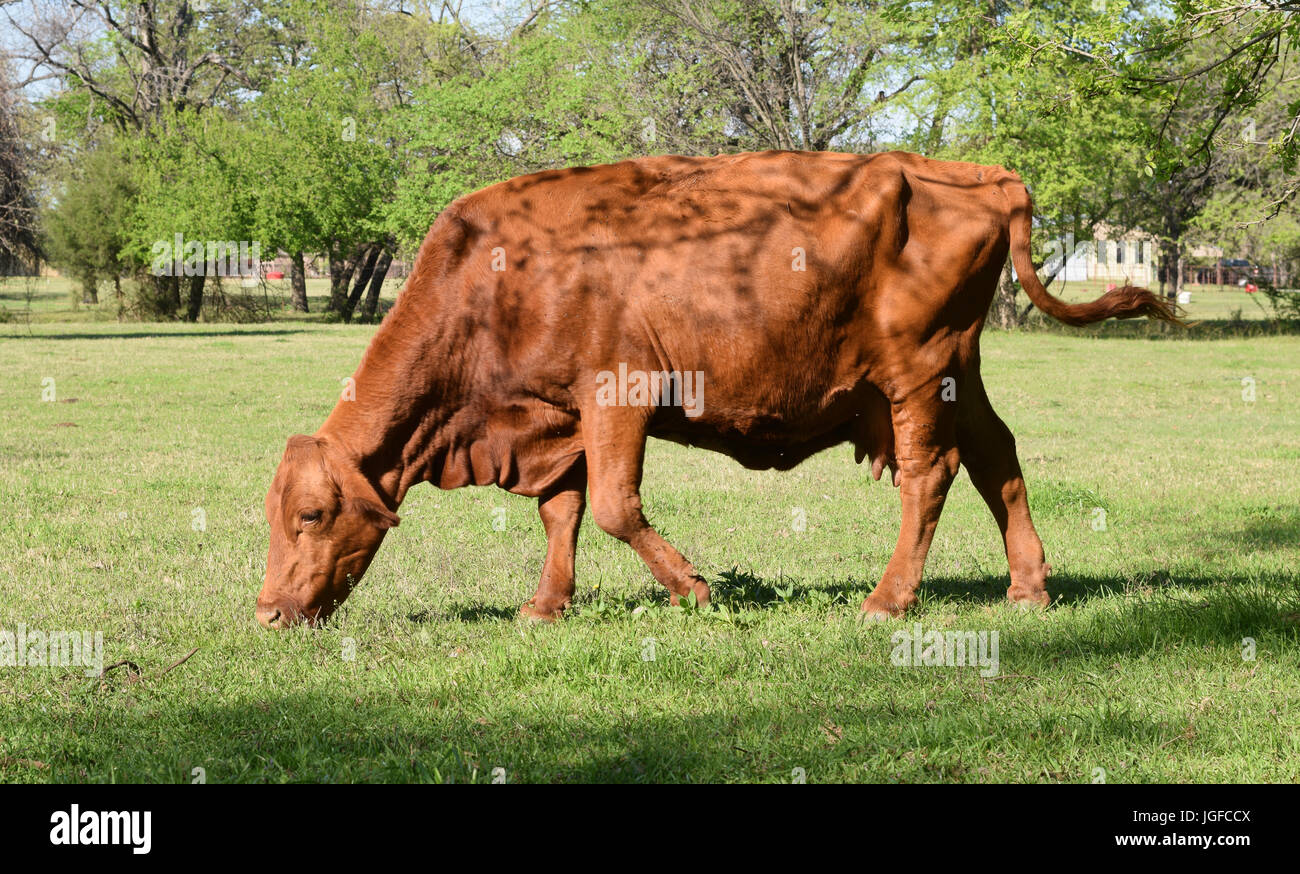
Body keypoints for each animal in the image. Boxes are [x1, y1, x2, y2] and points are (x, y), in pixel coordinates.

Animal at [255, 150, 1177, 629]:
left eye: (311, 515)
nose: (266, 612)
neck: (499, 277)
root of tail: (974, 173)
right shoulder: (558, 416)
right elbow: (564, 510)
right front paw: (546, 605)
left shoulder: (617, 396)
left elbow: (615, 507)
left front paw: (694, 589)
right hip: (959, 374)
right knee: (998, 460)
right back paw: (1029, 588)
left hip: (917, 372)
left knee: (931, 476)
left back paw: (888, 599)